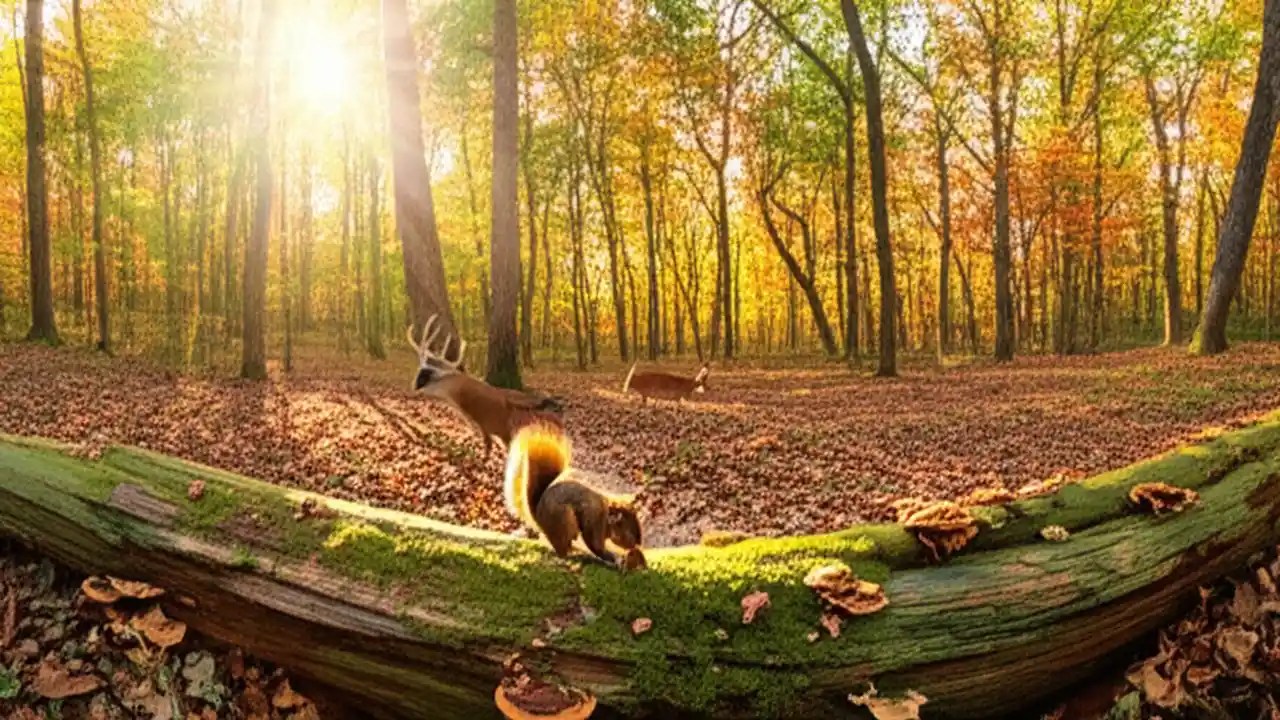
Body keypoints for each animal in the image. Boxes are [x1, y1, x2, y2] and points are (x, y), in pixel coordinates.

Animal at [504, 424, 643, 567]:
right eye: (628, 531)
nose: (637, 544)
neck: (607, 515)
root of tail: (539, 519)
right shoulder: (596, 518)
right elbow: (595, 545)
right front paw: (614, 559)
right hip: (564, 523)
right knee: (562, 550)